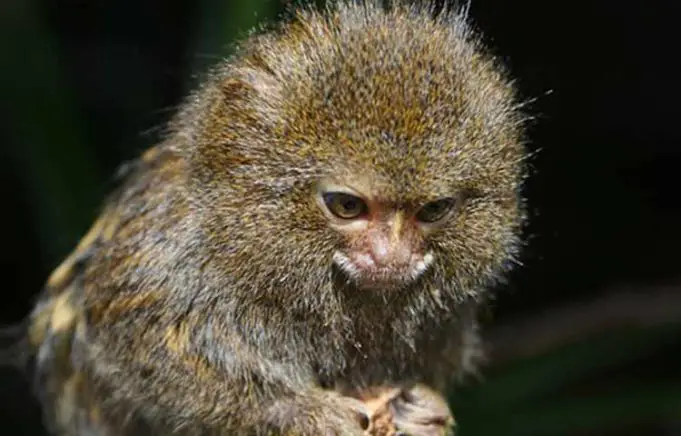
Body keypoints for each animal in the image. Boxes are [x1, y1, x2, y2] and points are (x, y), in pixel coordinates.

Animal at [20, 0, 528, 435]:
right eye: (347, 206)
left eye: (432, 210)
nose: (391, 256)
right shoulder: (169, 251)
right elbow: (135, 340)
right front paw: (300, 413)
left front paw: (423, 412)